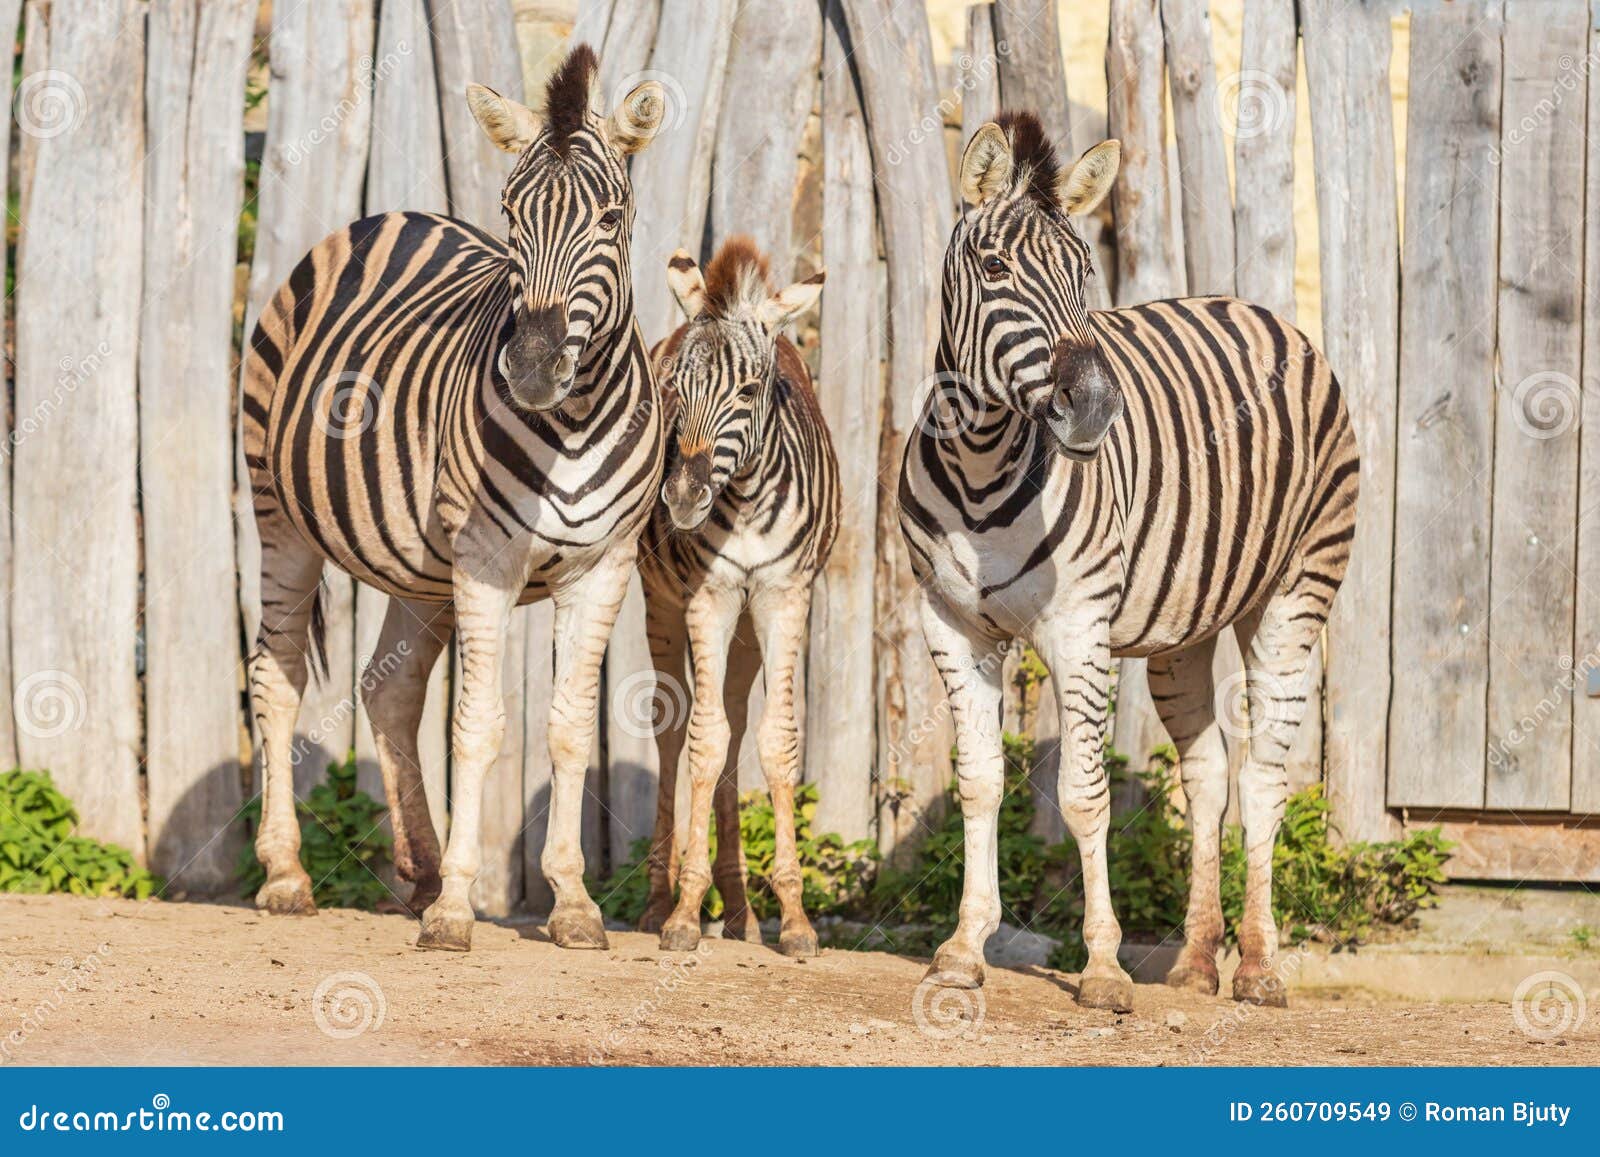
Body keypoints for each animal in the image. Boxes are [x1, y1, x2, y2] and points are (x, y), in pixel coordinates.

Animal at [240, 45, 666, 953]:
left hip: (420, 568)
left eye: (611, 219)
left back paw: (422, 866)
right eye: (510, 215)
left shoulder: (603, 565)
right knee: (277, 675)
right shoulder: (486, 560)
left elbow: (569, 725)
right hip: (278, 514)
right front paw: (456, 910)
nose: (533, 369)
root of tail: (385, 216)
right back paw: (287, 874)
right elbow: (479, 727)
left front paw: (571, 903)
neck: (573, 420)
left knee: (389, 691)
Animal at [632, 239, 836, 957]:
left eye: (748, 391)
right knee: (675, 730)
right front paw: (685, 913)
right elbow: (703, 738)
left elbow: (773, 740)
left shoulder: (783, 595)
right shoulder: (708, 598)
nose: (683, 497)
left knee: (738, 719)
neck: (744, 499)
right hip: (662, 607)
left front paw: (795, 919)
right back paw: (659, 900)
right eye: (676, 388)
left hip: (749, 627)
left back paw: (743, 908)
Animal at [898, 113, 1358, 1011]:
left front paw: (1104, 968)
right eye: (995, 269)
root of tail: (1261, 311)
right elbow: (979, 781)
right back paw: (1196, 960)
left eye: (1085, 275)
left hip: (1296, 593)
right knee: (1208, 772)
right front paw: (963, 949)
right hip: (1186, 627)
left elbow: (1084, 795)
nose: (1095, 407)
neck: (978, 467)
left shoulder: (1080, 629)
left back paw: (1257, 966)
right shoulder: (952, 626)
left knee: (1264, 776)